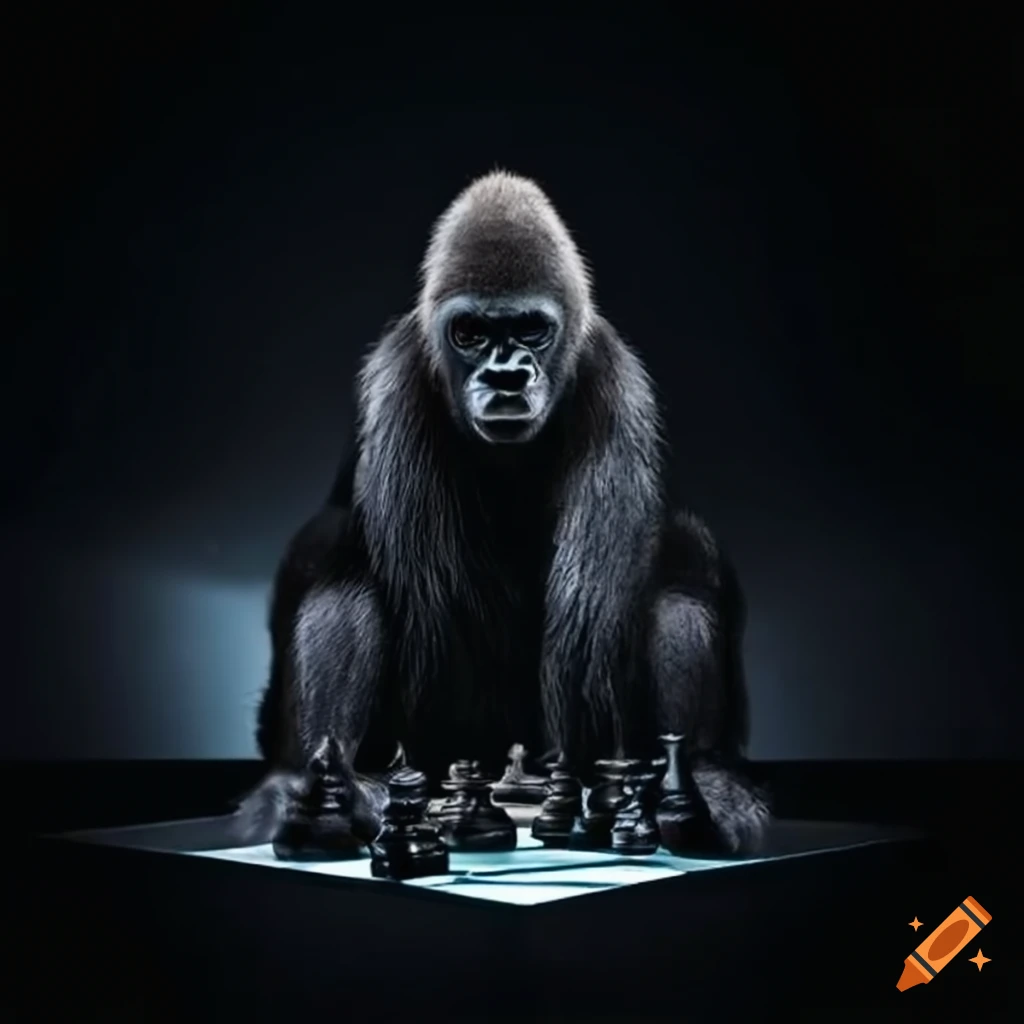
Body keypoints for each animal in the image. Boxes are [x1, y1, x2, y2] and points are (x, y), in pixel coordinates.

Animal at [237, 171, 769, 854]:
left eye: (531, 330)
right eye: (470, 334)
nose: (507, 375)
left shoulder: (613, 383)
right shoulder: (400, 379)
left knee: (681, 571)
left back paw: (703, 790)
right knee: (341, 563)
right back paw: (329, 803)